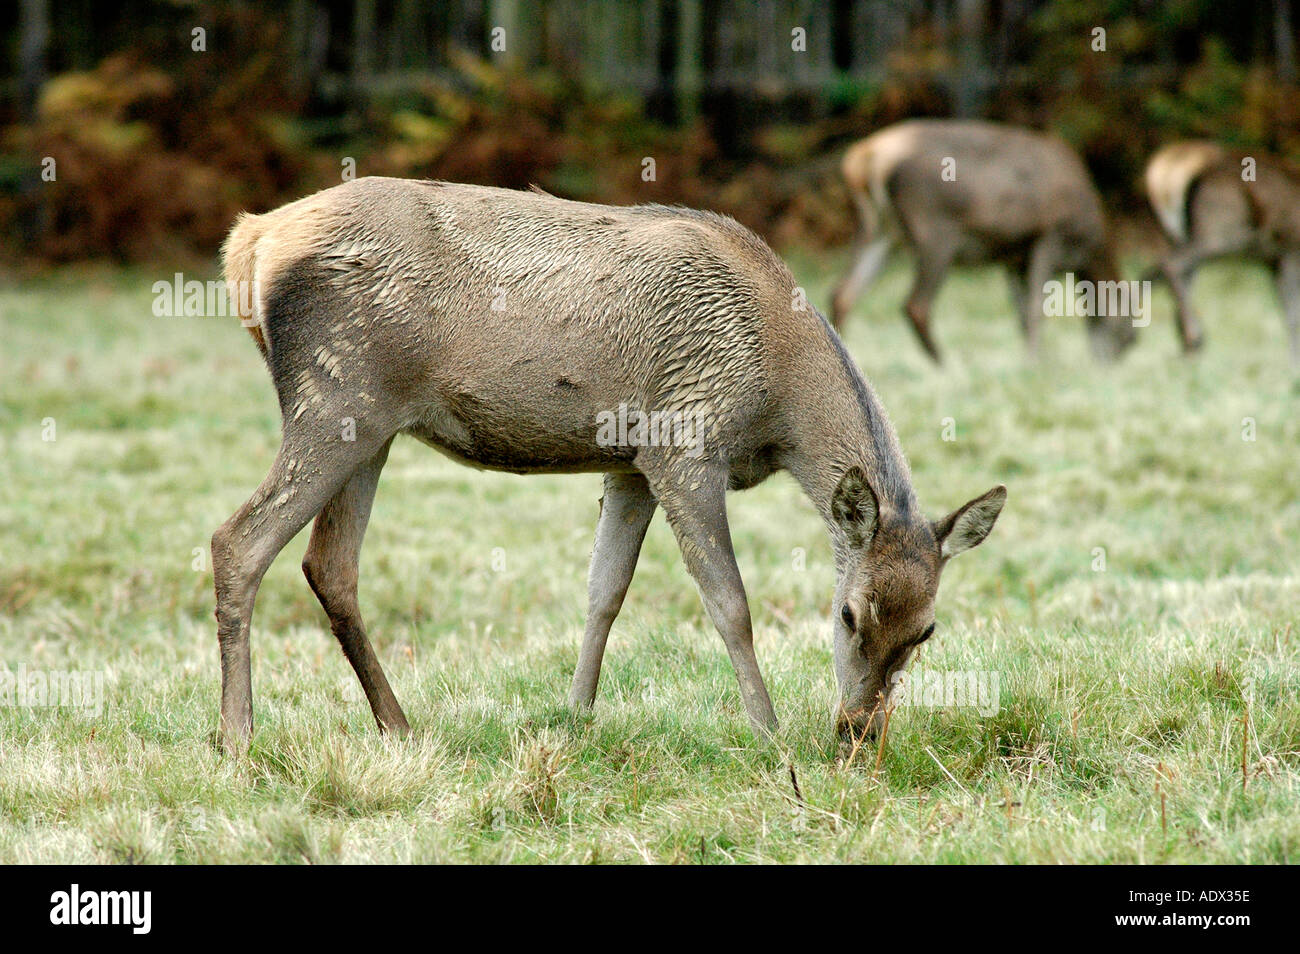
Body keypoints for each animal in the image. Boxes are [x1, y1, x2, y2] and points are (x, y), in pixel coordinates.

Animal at [212, 176, 1007, 755]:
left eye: (926, 631)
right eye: (847, 613)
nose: (858, 734)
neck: (777, 405)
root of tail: (247, 242)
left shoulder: (630, 463)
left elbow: (604, 591)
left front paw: (576, 715)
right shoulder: (685, 443)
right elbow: (730, 603)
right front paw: (770, 733)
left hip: (371, 425)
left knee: (330, 565)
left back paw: (399, 727)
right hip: (334, 392)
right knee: (238, 541)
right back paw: (239, 739)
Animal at [831, 118, 1137, 363]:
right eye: (1130, 337)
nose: (1107, 366)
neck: (1089, 246)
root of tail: (864, 157)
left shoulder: (1013, 256)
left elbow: (1021, 313)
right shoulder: (1049, 235)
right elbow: (1036, 310)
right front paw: (1034, 363)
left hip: (878, 229)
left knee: (843, 293)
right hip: (935, 228)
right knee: (915, 305)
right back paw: (943, 364)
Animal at [1144, 140, 1300, 363]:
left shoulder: (1274, 259)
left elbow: (1288, 310)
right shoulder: (1290, 250)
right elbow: (1294, 313)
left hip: (1182, 235)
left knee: (1158, 273)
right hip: (1218, 232)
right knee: (1170, 265)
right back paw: (1194, 337)